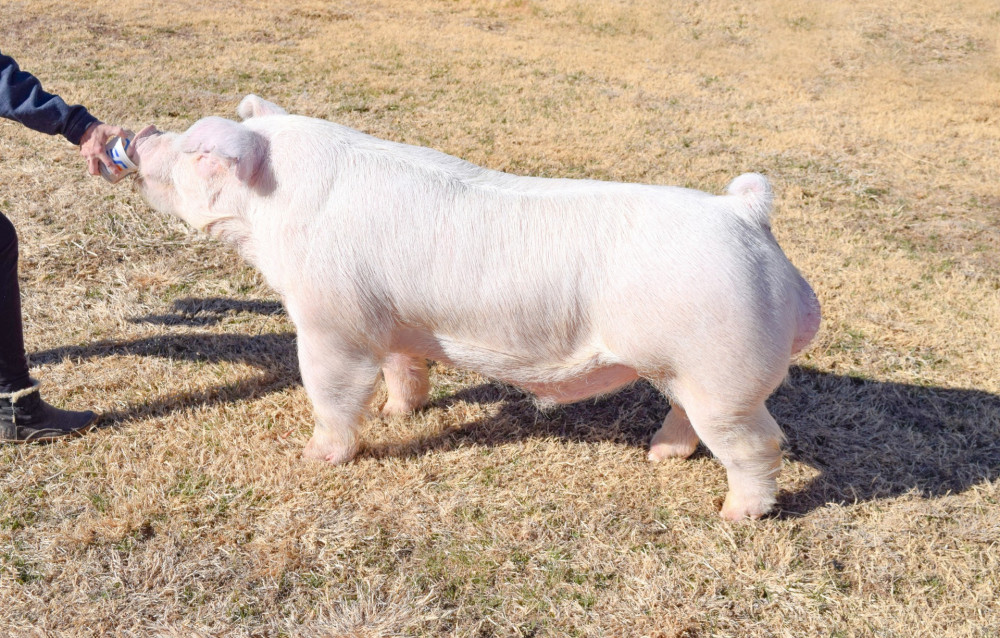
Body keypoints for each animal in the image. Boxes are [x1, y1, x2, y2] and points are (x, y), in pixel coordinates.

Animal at [129, 95, 820, 520]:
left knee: (760, 444)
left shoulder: (332, 318)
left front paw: (315, 458)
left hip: (723, 368)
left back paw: (734, 515)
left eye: (196, 151)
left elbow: (330, 389)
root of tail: (744, 214)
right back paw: (659, 455)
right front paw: (399, 414)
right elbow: (404, 367)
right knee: (687, 417)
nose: (138, 137)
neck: (274, 217)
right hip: (685, 368)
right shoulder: (394, 321)